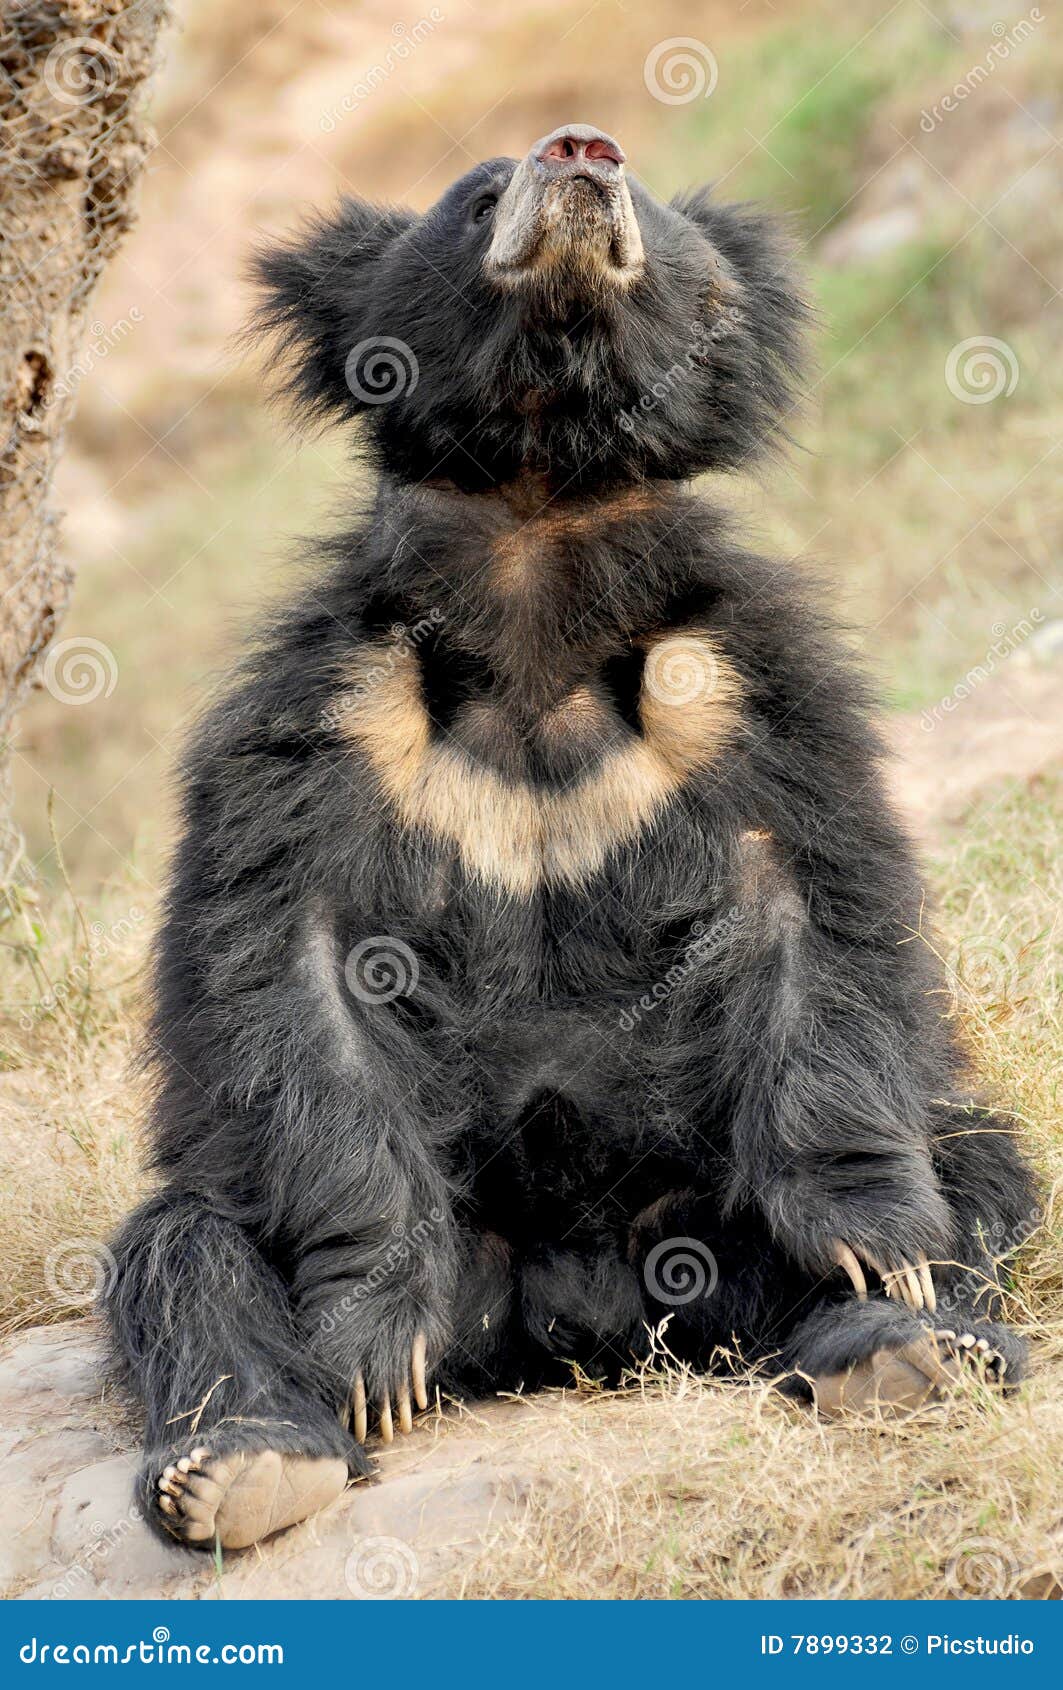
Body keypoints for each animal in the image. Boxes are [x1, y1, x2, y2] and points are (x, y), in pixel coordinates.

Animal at [104, 123, 1038, 1552]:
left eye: (635, 183)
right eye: (481, 195)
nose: (580, 151)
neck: (540, 529)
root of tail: (569, 1328)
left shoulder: (746, 686)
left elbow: (814, 904)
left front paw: (876, 1255)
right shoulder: (318, 714)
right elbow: (287, 958)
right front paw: (368, 1352)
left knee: (978, 1166)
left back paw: (903, 1349)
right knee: (186, 1252)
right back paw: (250, 1464)